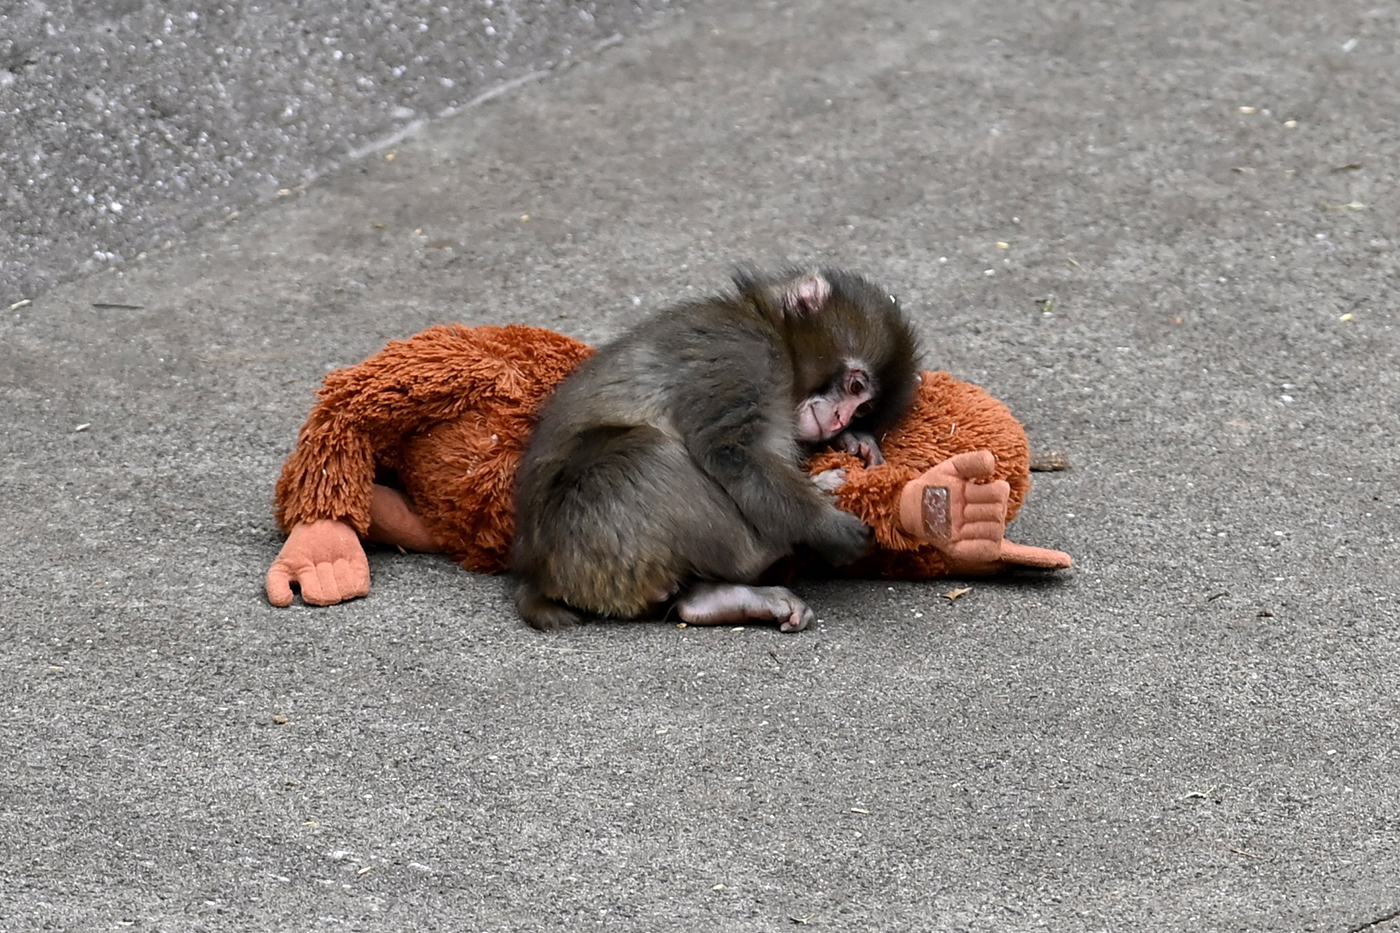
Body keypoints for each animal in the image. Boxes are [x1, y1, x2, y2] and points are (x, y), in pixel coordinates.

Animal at [510, 267, 920, 633]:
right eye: (855, 387)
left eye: (863, 409)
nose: (840, 420)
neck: (772, 330)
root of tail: (537, 575)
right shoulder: (743, 354)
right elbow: (730, 449)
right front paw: (824, 525)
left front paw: (855, 442)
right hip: (588, 535)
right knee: (648, 453)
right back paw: (770, 547)